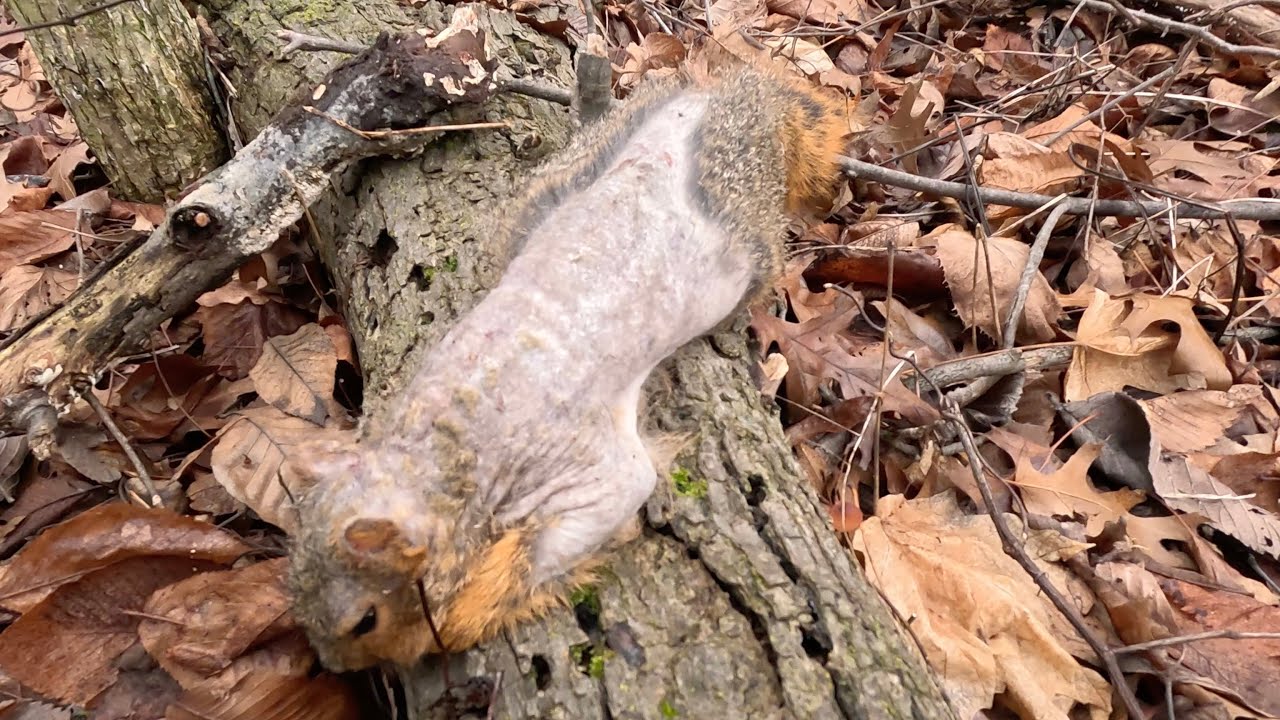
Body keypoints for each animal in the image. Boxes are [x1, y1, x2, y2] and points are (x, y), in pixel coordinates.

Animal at [285, 61, 849, 672]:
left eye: (365, 620)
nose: (334, 667)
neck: (441, 453)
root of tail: (732, 101)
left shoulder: (585, 464)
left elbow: (587, 518)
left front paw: (461, 619)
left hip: (743, 216)